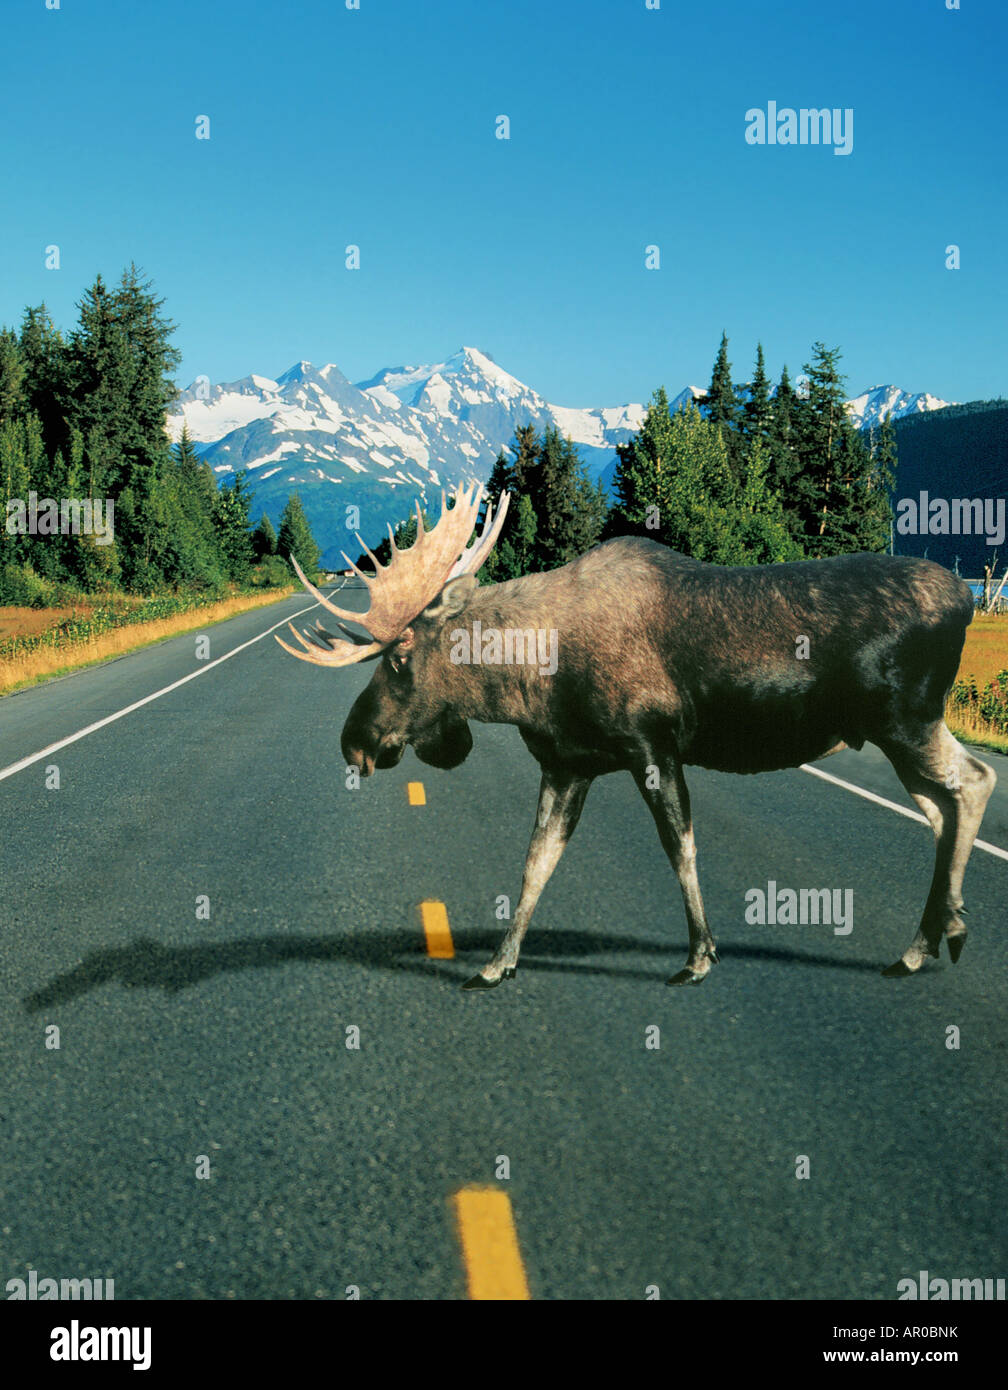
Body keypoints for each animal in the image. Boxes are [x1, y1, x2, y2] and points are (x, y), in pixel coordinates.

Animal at [276, 484, 996, 990]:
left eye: (399, 658)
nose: (354, 742)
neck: (532, 675)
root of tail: (967, 597)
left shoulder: (652, 745)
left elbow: (681, 848)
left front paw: (700, 955)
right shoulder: (568, 764)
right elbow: (536, 862)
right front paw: (497, 963)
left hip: (907, 719)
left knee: (974, 783)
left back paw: (935, 936)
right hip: (893, 733)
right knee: (942, 810)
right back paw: (932, 937)